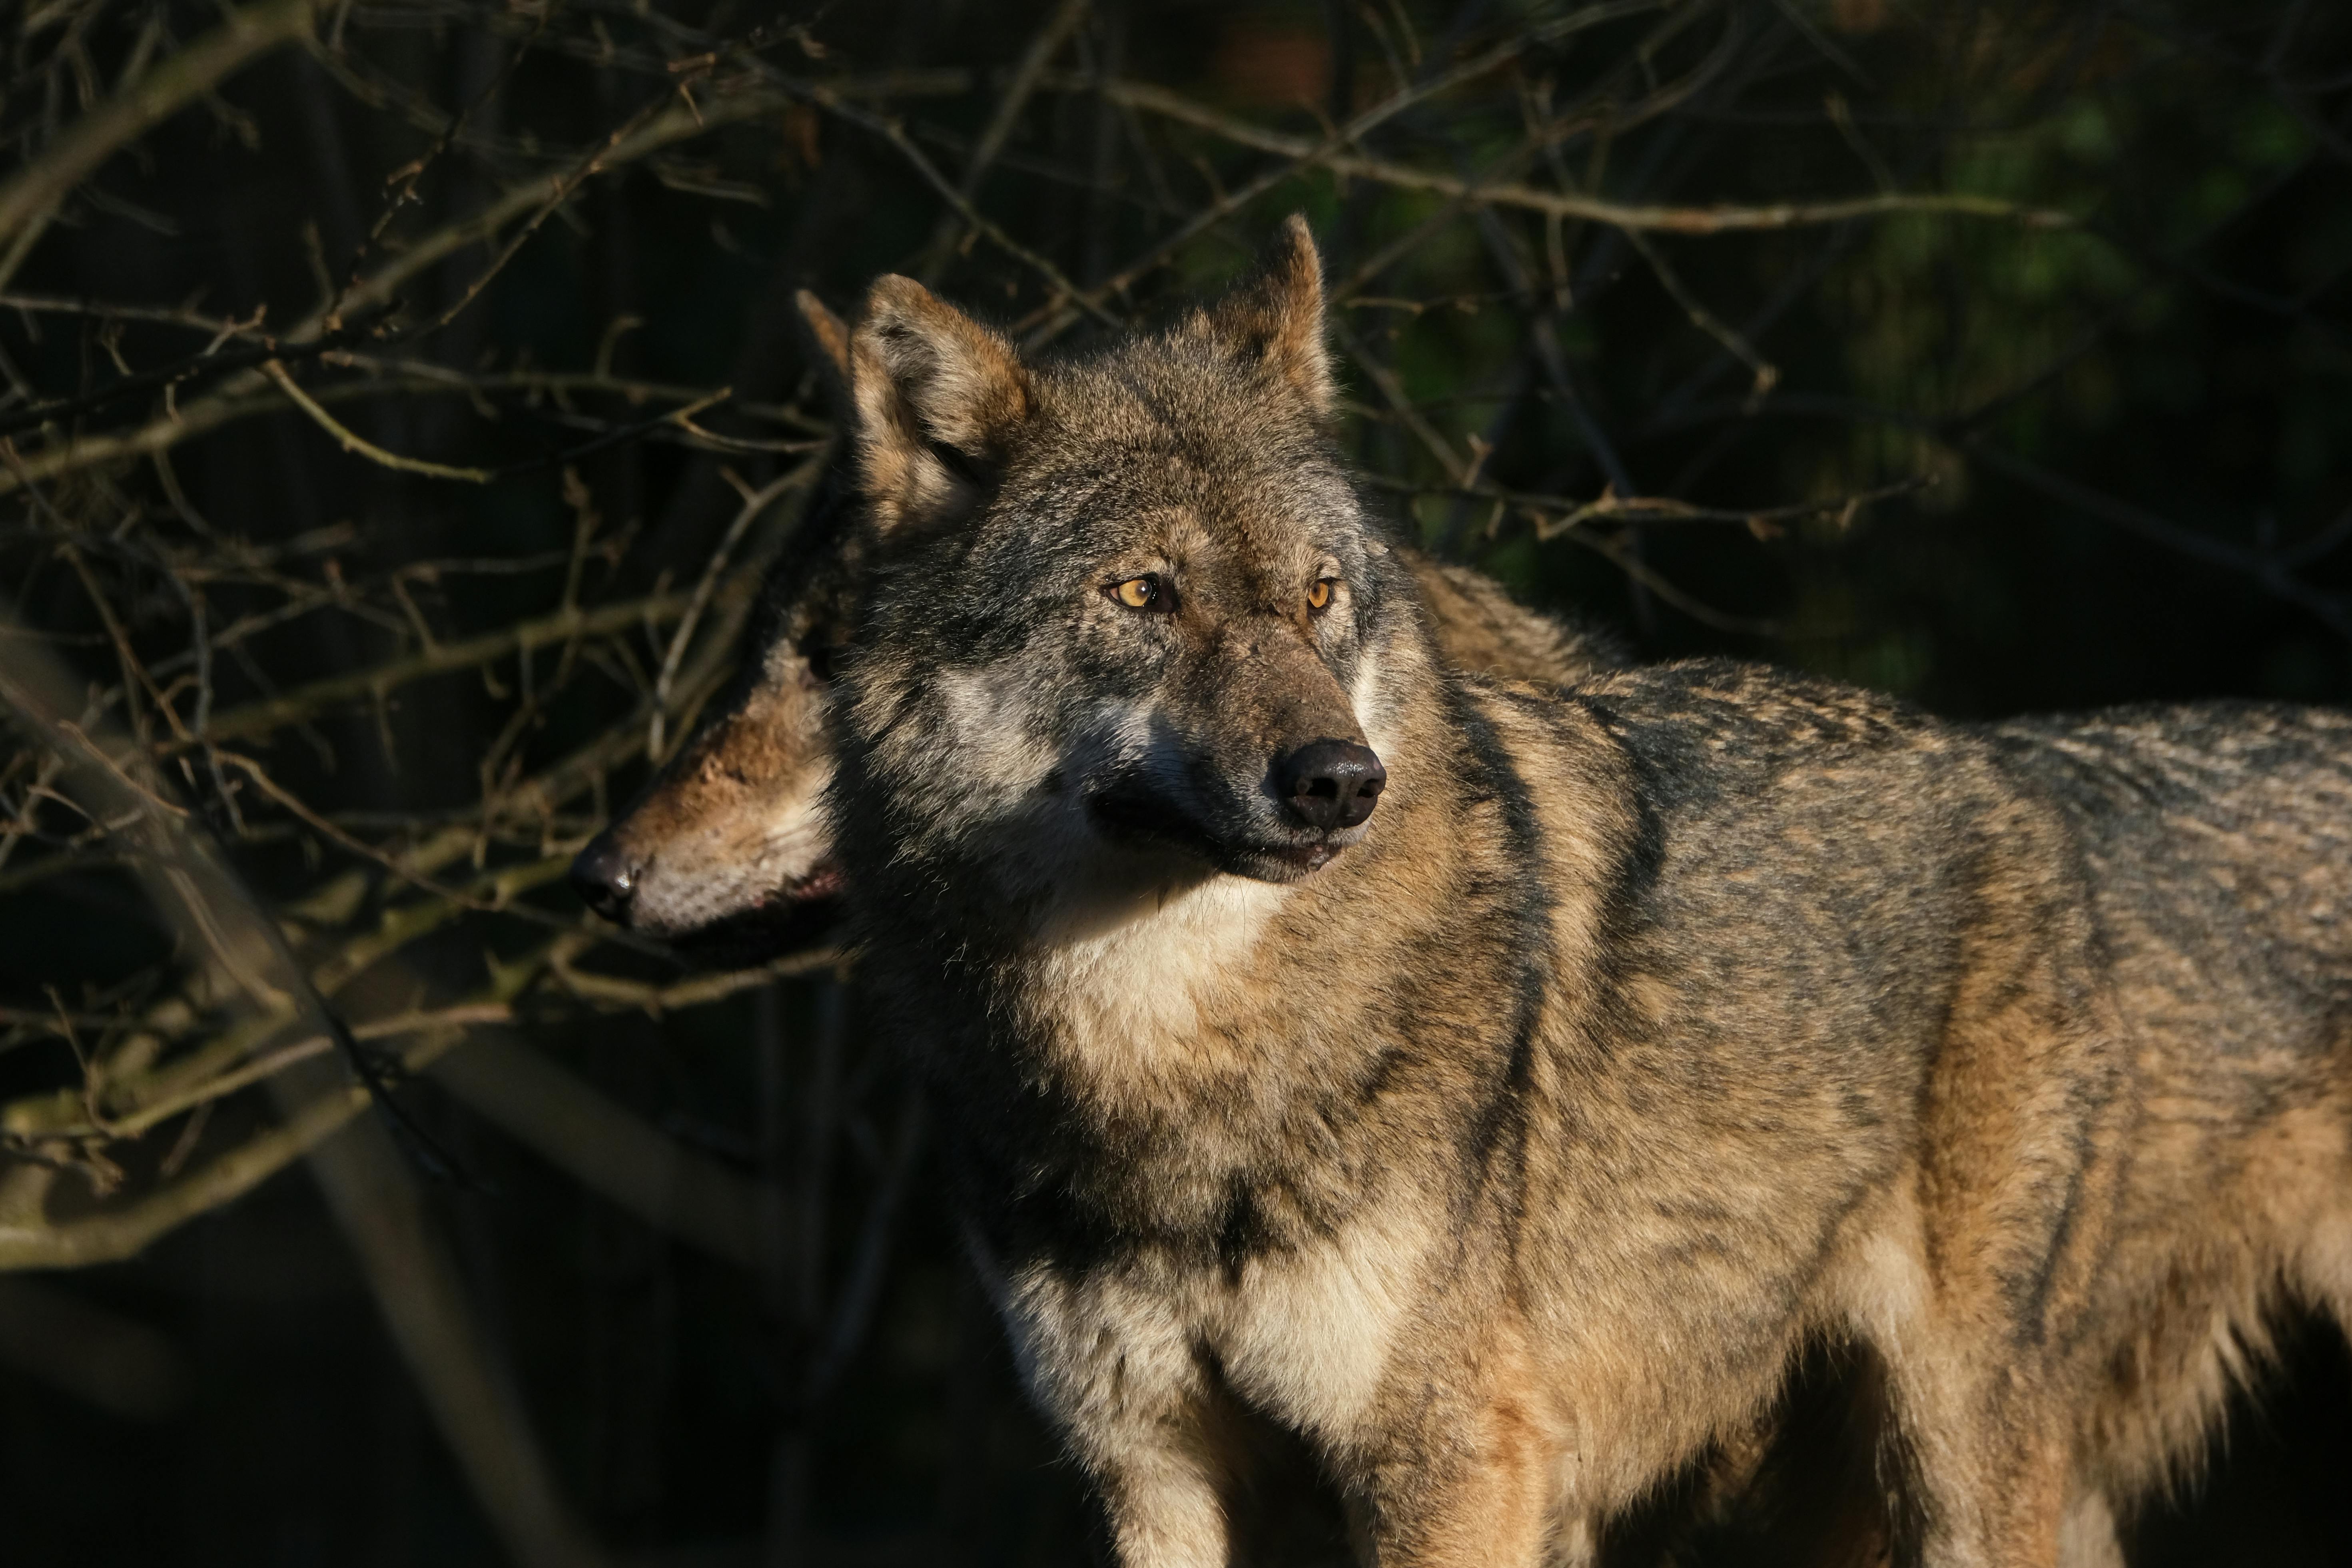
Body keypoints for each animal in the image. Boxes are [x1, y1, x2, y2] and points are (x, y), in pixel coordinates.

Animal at [820, 216, 2352, 1567]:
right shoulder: (1152, 1470)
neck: (1165, 1064)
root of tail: (2038, 771)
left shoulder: (1444, 1457)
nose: (1339, 780)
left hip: (1955, 1458)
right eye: (1142, 594)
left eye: (1317, 595)